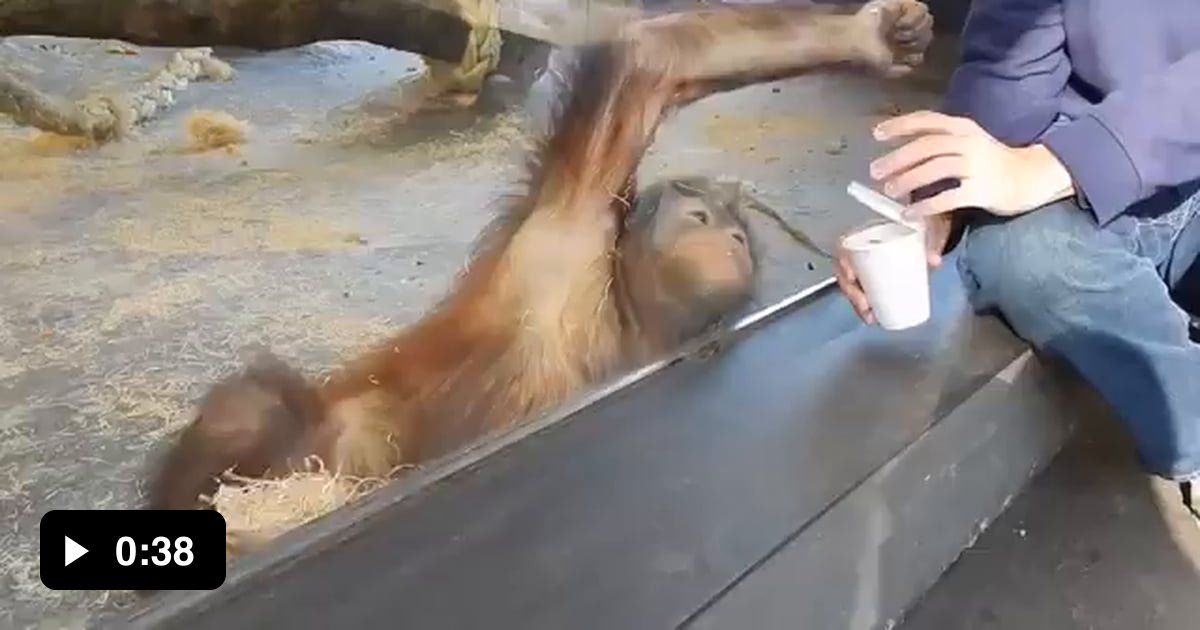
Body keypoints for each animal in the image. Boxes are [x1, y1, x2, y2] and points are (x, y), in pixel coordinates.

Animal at [147, 0, 935, 514]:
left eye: (735, 230)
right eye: (704, 216)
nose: (722, 225)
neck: (624, 321)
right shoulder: (565, 233)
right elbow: (652, 64)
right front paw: (873, 33)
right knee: (252, 410)